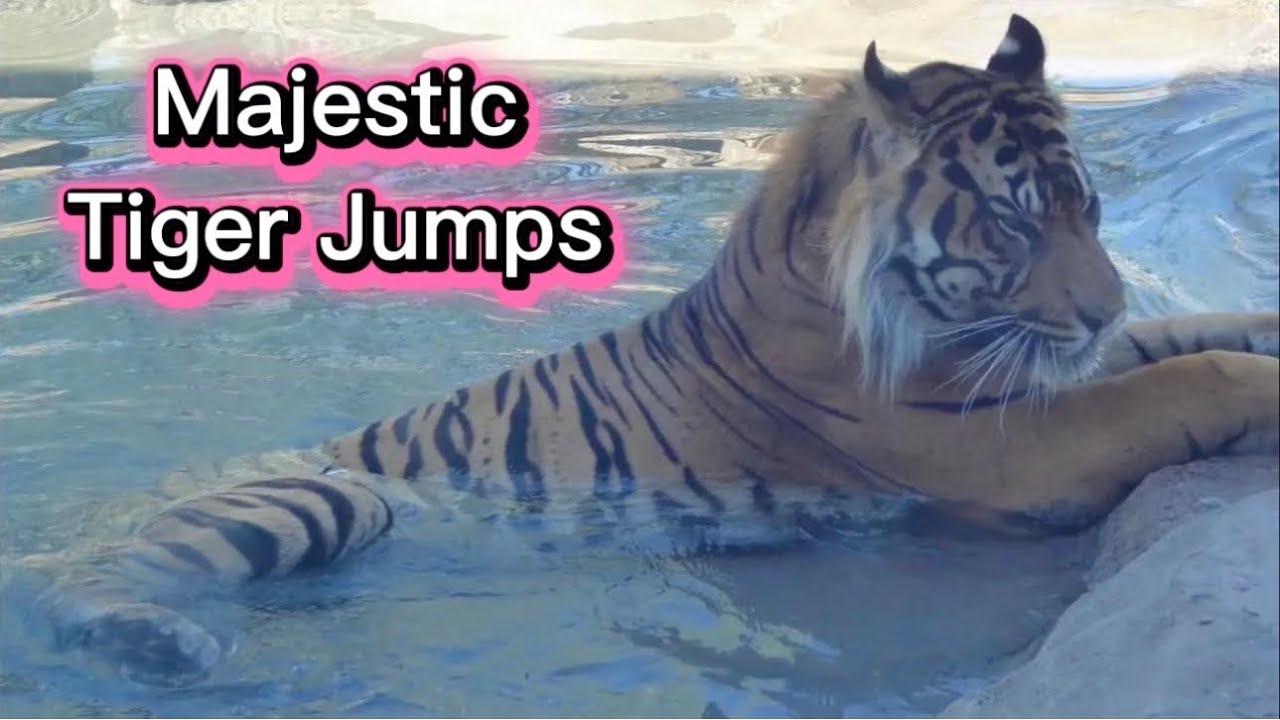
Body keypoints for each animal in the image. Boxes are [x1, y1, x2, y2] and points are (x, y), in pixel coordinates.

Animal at [17, 14, 1279, 687]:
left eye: (1088, 211)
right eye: (1013, 223)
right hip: (313, 500)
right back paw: (160, 642)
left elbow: (1183, 335)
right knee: (85, 579)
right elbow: (1186, 373)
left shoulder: (1036, 371)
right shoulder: (996, 450)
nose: (1093, 310)